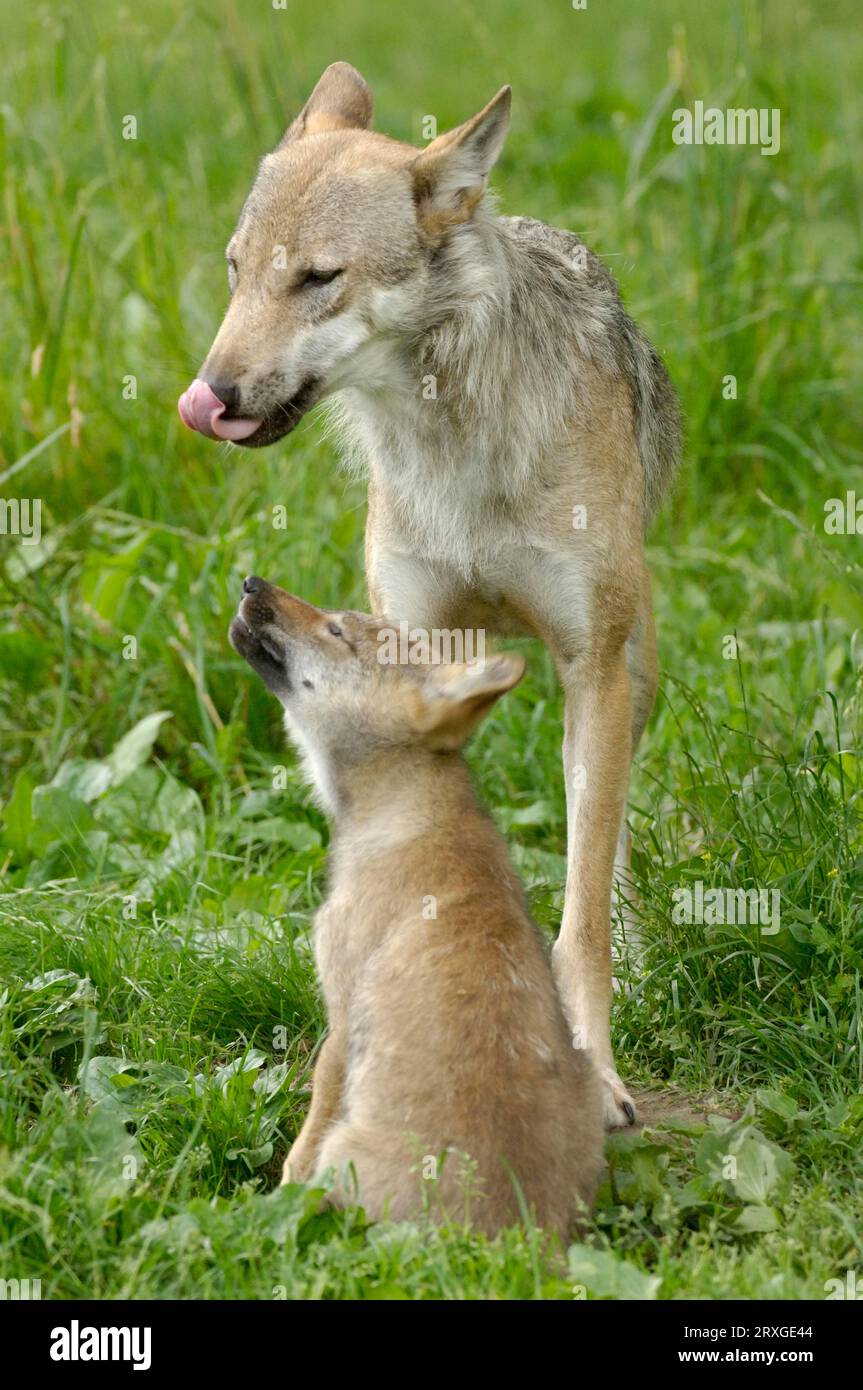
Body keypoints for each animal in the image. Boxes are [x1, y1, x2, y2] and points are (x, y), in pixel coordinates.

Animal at [179, 63, 681, 1127]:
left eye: (316, 278)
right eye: (237, 271)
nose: (208, 397)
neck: (453, 444)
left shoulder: (590, 669)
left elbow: (580, 917)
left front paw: (595, 1071)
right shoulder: (414, 641)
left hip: (633, 676)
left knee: (606, 849)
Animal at [229, 576, 603, 1236]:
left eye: (336, 630)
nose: (252, 581)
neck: (402, 814)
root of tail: (523, 1241)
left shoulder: (341, 1018)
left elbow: (304, 1138)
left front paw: (275, 1201)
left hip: (346, 1153)